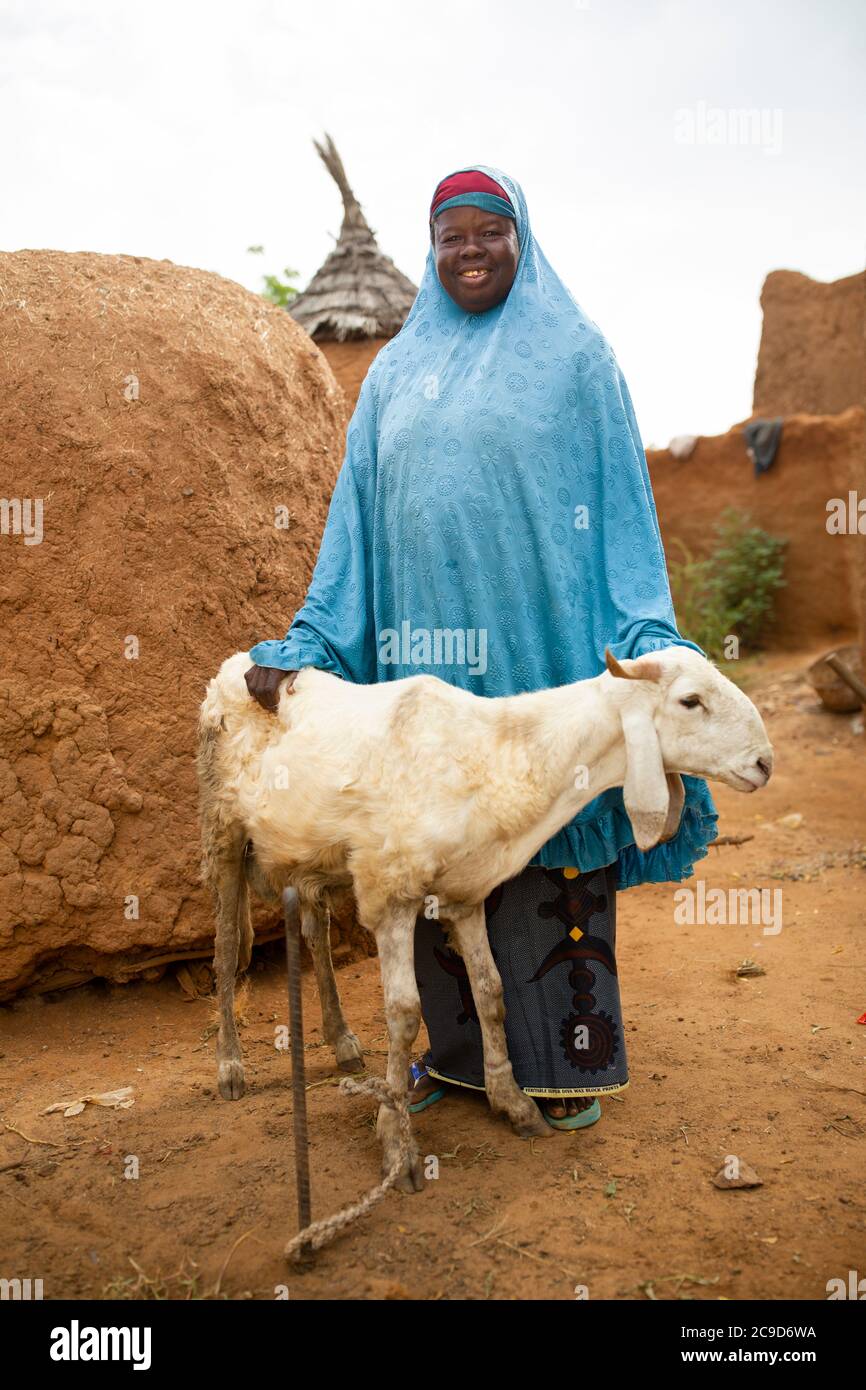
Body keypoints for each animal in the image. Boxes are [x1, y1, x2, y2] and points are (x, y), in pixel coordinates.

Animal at [197, 645, 773, 1192]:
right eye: (690, 701)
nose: (765, 763)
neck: (500, 754)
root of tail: (236, 663)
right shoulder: (390, 888)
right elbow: (403, 1014)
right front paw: (398, 1143)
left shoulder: (465, 893)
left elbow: (491, 991)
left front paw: (512, 1100)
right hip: (223, 826)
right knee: (225, 947)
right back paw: (230, 1064)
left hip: (304, 855)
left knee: (315, 936)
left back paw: (340, 1039)